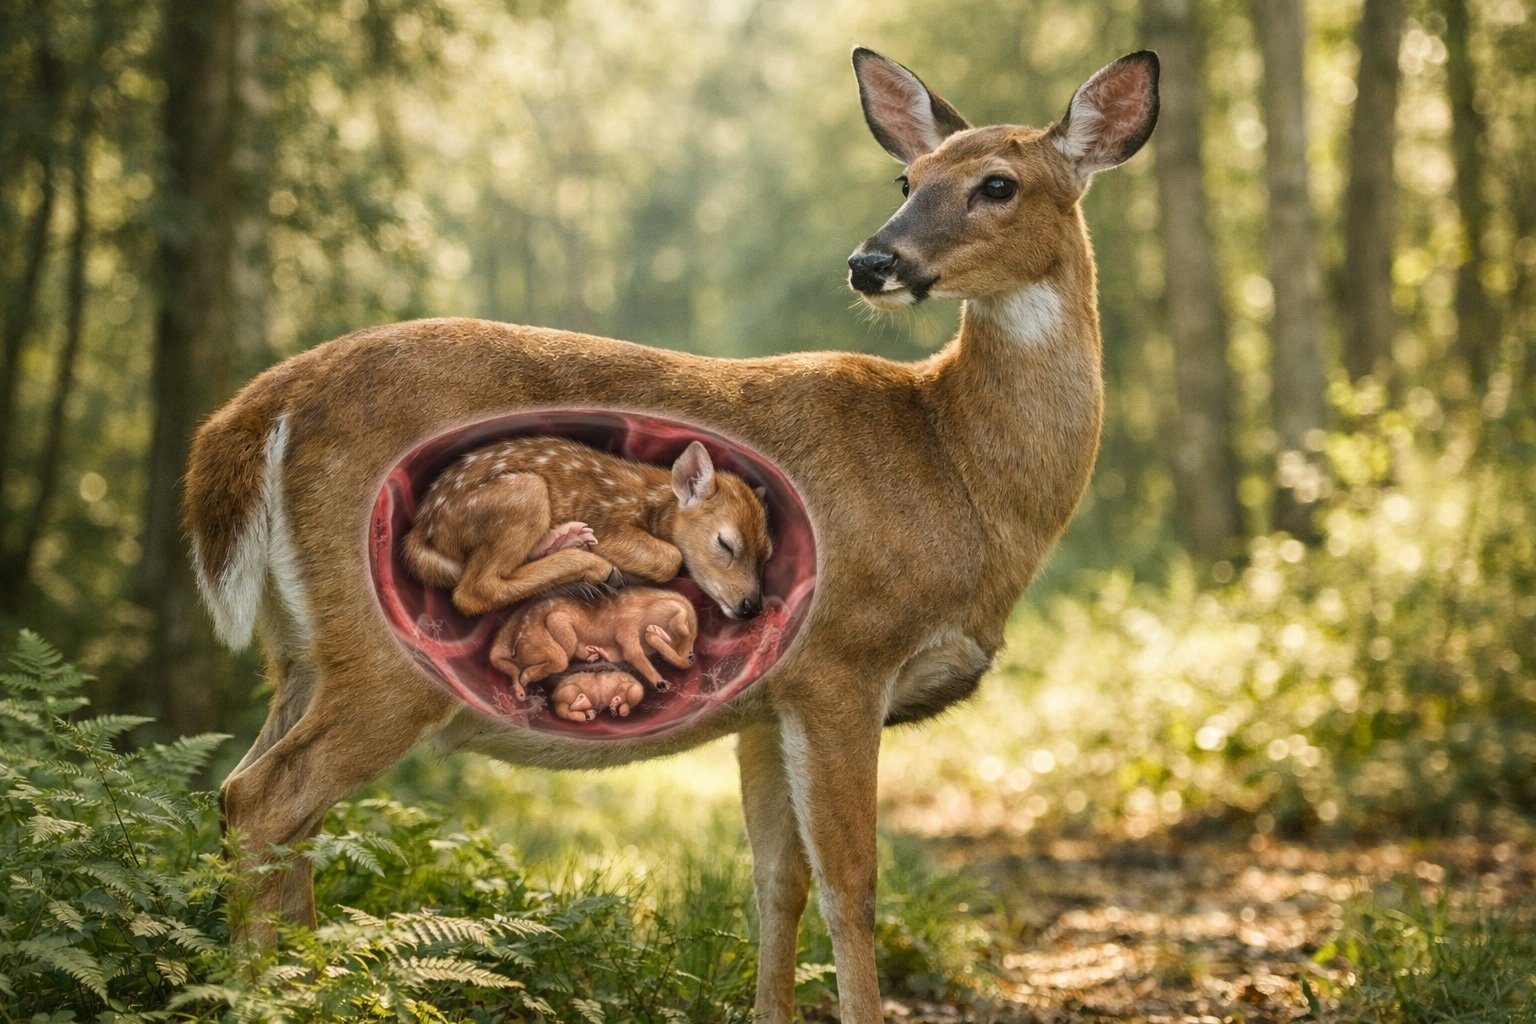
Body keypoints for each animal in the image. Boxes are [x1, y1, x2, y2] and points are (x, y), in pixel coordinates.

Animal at [189, 46, 1158, 1024]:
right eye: (908, 177)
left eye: (996, 183)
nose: (870, 262)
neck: (956, 467)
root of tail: (261, 406)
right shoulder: (842, 661)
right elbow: (852, 885)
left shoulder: (768, 705)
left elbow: (778, 882)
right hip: (386, 651)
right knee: (264, 799)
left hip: (299, 650)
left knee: (268, 811)